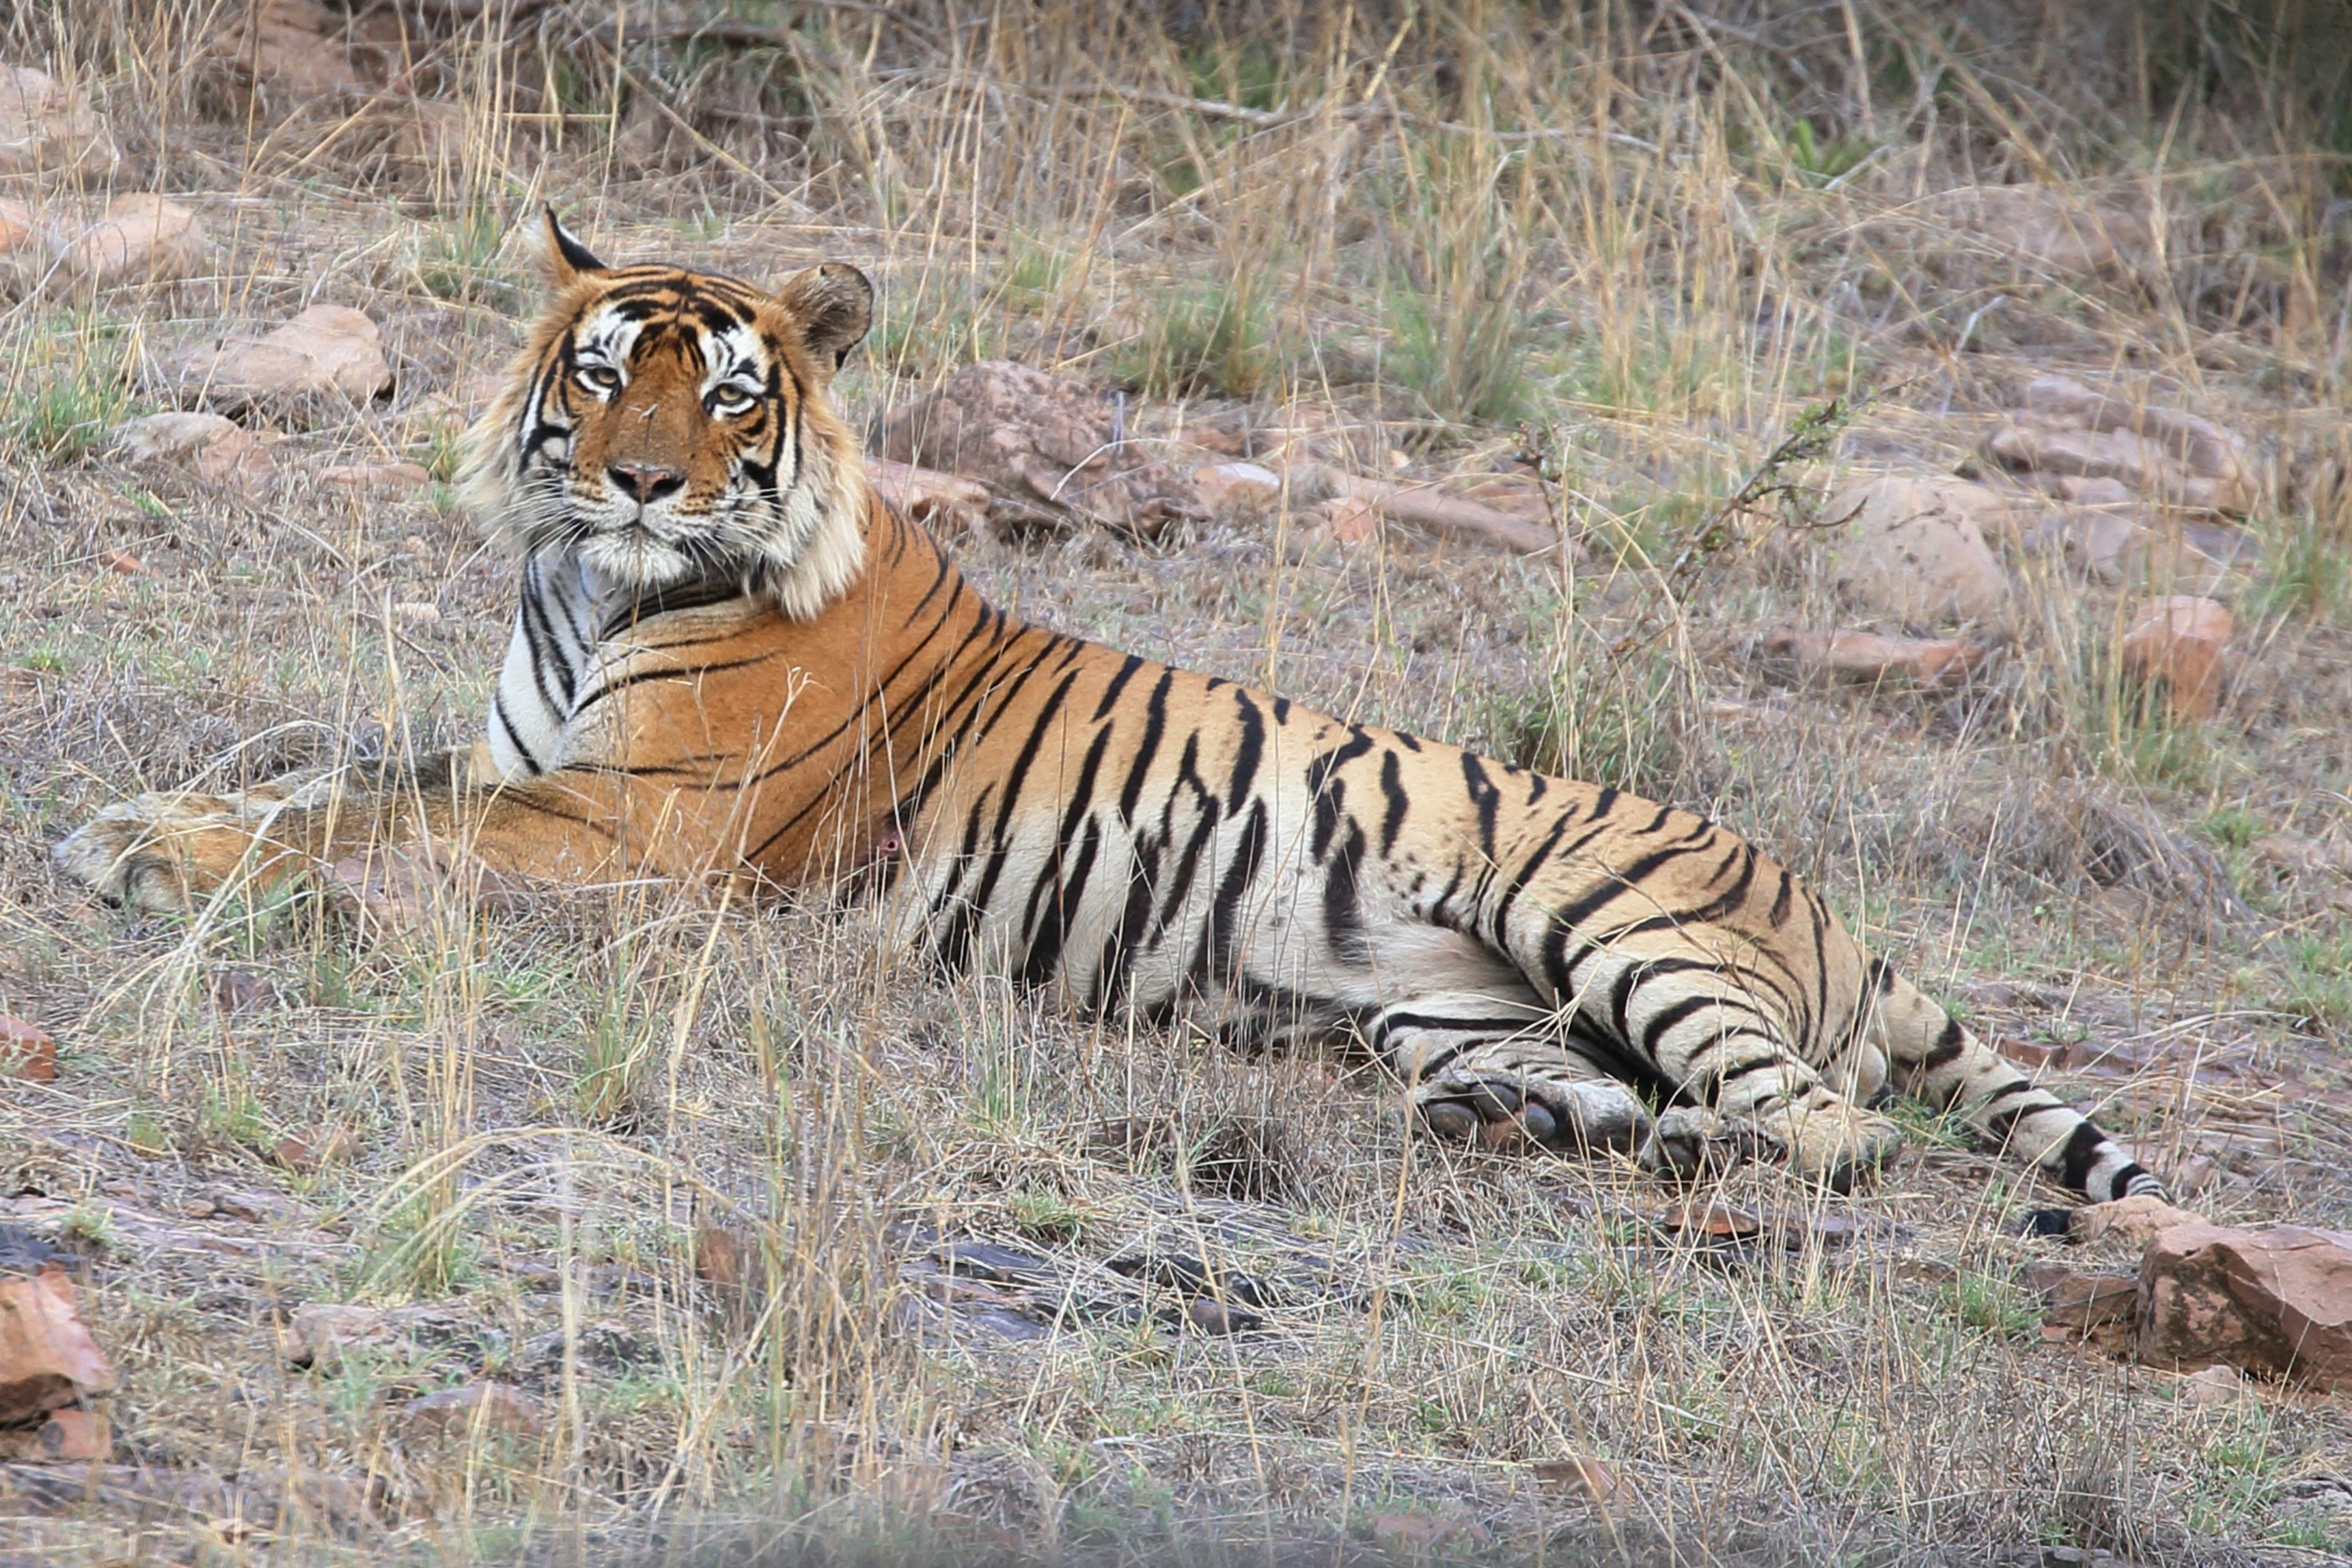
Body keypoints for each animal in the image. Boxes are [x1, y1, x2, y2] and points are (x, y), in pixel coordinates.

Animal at [53, 213, 2164, 1204]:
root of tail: (1831, 906)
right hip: (1449, 1013)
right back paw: (1540, 1134)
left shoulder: (630, 829)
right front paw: (154, 817)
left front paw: (141, 848)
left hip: (1615, 926)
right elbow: (345, 774)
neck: (586, 586)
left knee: (1832, 1129)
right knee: (1614, 1094)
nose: (643, 483)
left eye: (726, 393)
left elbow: (359, 819)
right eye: (600, 372)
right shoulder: (532, 770)